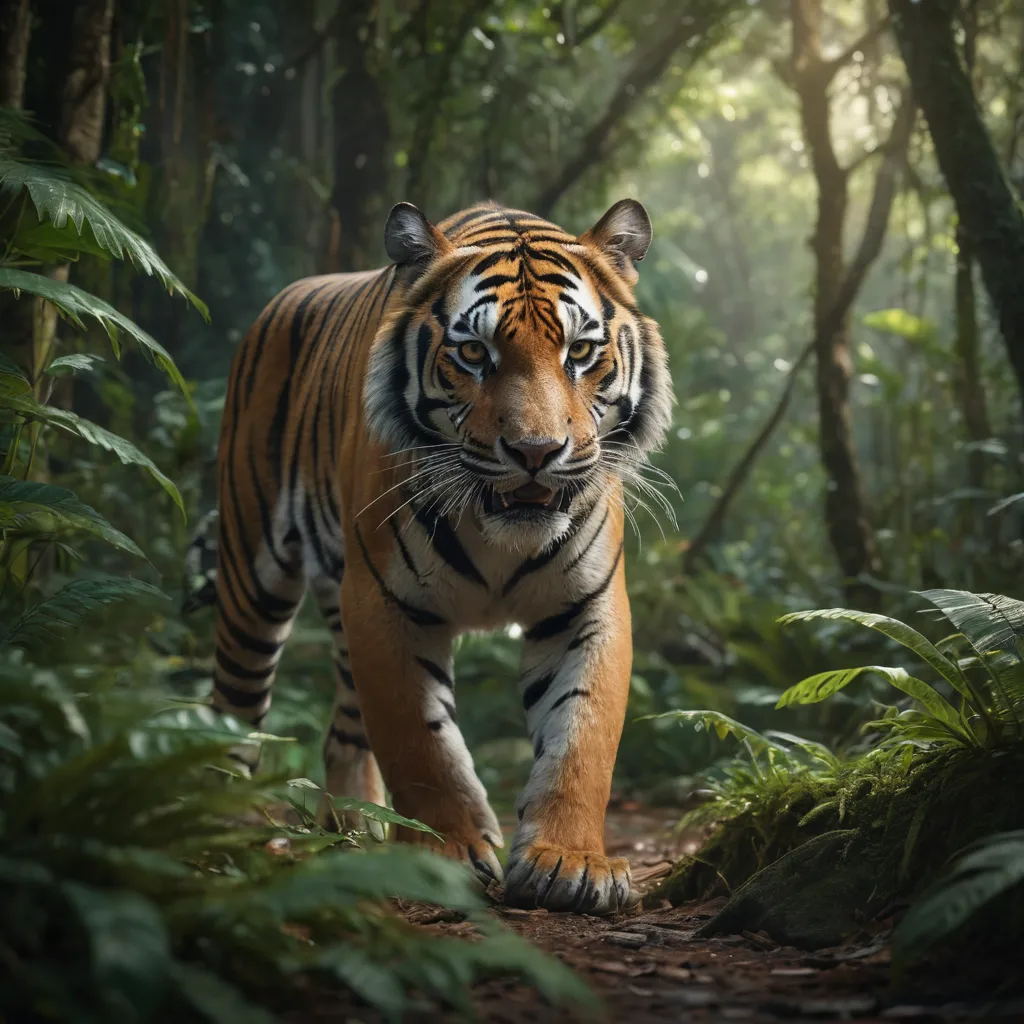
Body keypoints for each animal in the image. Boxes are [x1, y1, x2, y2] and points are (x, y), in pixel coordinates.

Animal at [199, 198, 672, 915]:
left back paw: (355, 831)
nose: (536, 452)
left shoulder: (586, 606)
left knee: (343, 730)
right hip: (253, 577)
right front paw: (445, 855)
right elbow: (421, 742)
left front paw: (570, 861)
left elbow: (582, 736)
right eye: (474, 353)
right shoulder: (384, 603)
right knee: (234, 706)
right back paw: (221, 828)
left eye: (581, 352)